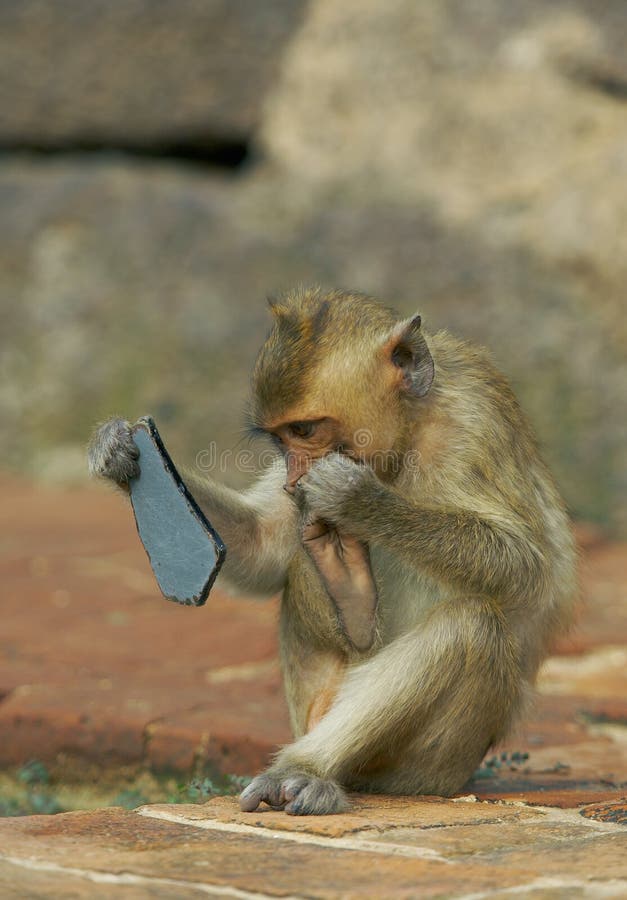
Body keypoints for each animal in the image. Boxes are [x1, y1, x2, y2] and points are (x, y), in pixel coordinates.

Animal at [88, 286, 576, 816]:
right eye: (280, 439)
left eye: (304, 431)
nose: (294, 476)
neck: (409, 434)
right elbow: (263, 548)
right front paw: (114, 451)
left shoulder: (475, 421)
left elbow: (525, 567)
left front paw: (357, 498)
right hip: (311, 700)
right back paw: (351, 600)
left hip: (432, 766)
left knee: (470, 626)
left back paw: (306, 767)